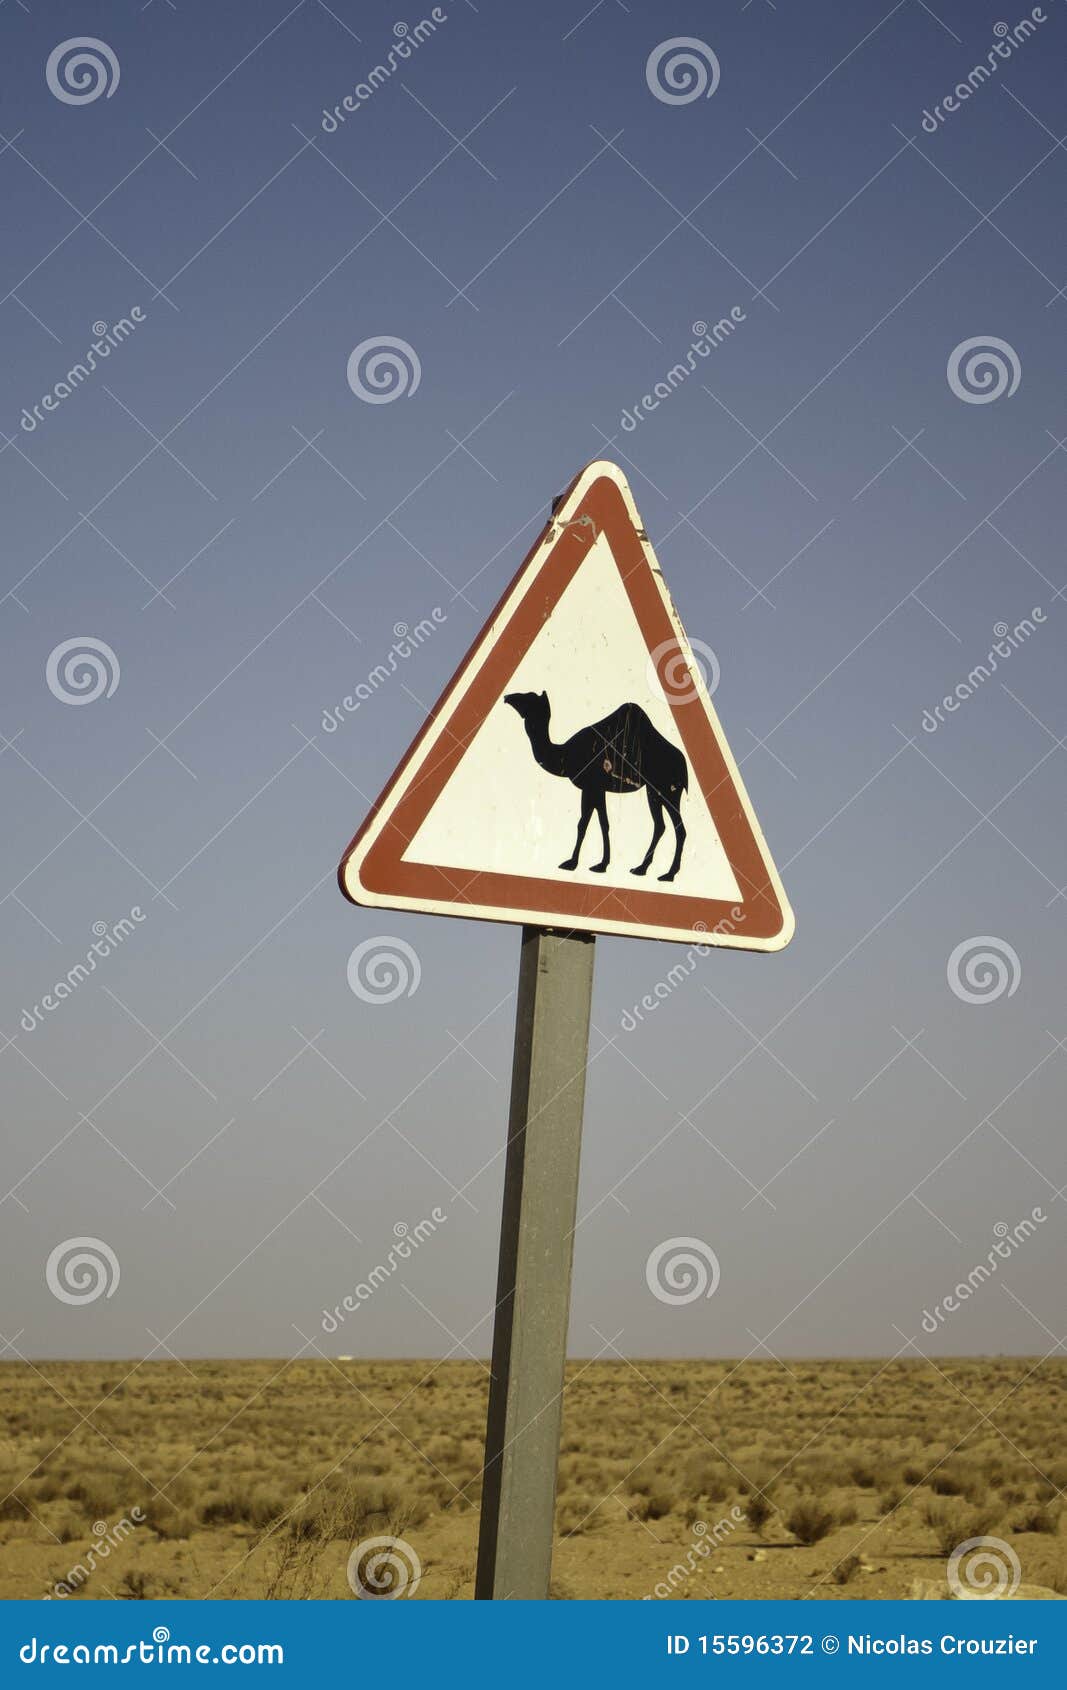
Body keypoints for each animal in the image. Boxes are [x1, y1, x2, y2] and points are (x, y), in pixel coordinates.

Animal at [503, 691, 688, 880]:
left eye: (528, 698)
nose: (507, 697)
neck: (564, 755)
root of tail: (683, 765)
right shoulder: (598, 790)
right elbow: (603, 824)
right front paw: (601, 864)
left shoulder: (589, 787)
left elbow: (582, 824)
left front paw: (572, 863)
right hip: (653, 791)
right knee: (660, 825)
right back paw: (641, 868)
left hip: (667, 789)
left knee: (678, 828)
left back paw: (669, 874)